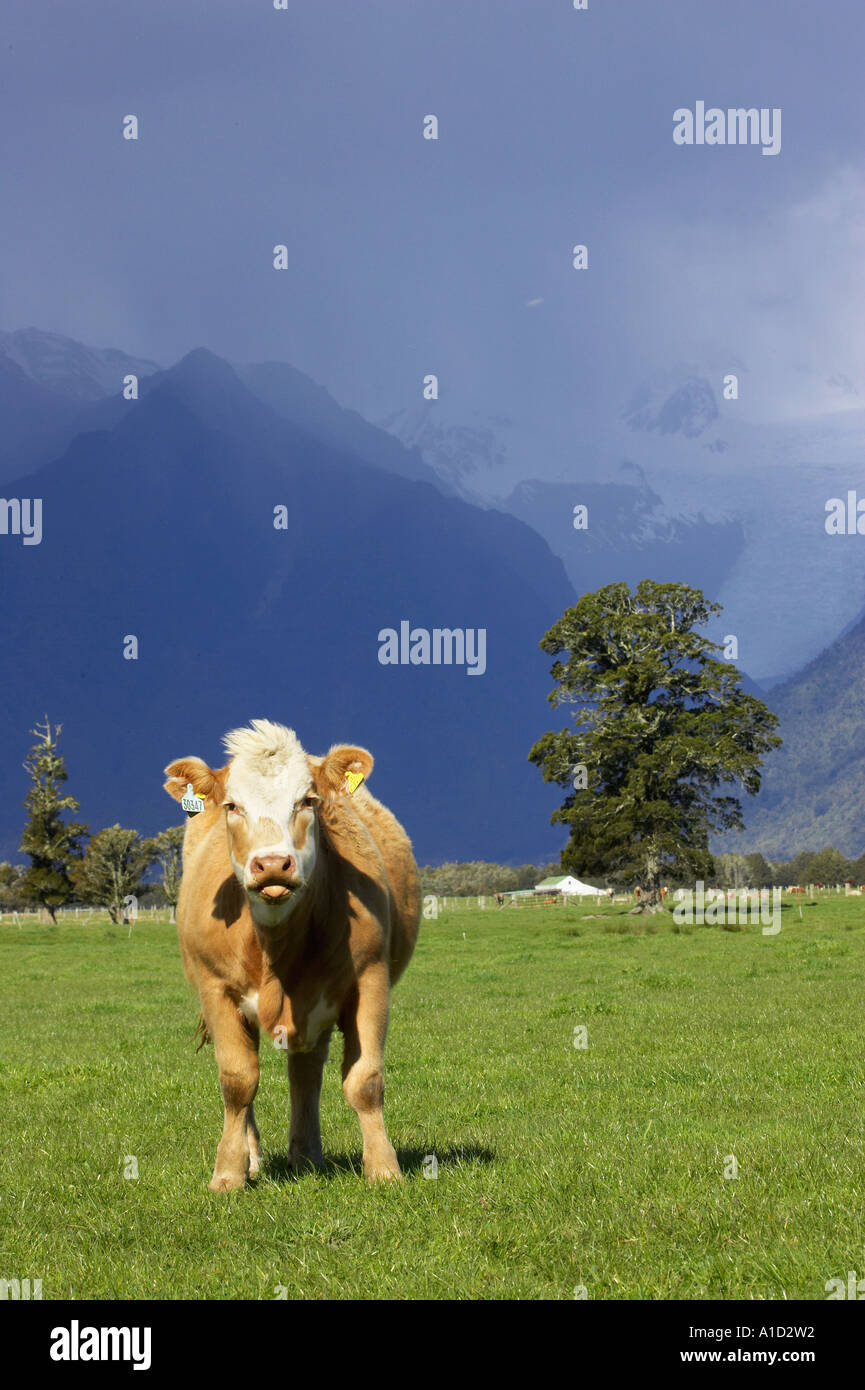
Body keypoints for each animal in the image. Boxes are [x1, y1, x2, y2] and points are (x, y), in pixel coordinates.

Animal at [164, 719, 421, 1191]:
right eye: (231, 805)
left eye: (308, 801)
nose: (271, 865)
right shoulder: (216, 988)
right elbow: (237, 1080)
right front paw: (228, 1173)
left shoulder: (369, 980)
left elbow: (365, 1080)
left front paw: (383, 1168)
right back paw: (253, 1158)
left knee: (306, 1069)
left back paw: (306, 1155)